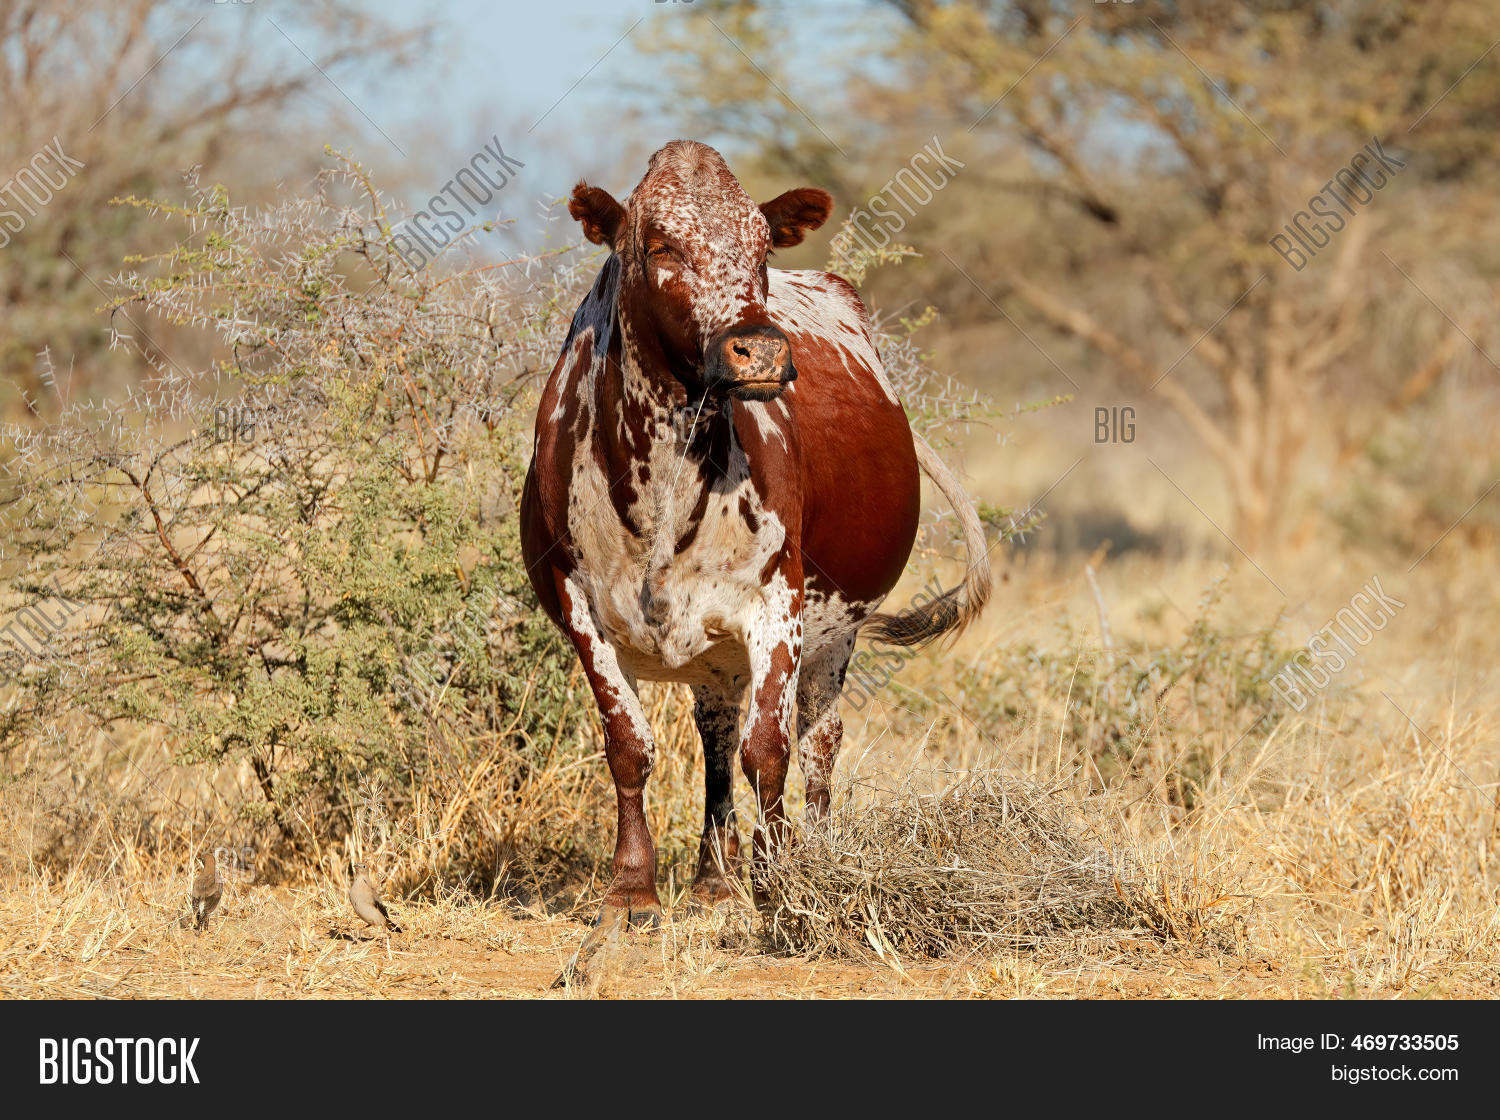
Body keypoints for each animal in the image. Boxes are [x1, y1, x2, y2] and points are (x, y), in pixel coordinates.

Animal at [520, 140, 990, 938]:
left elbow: (768, 750)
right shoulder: (579, 605)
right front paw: (632, 889)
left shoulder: (779, 601)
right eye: (659, 246)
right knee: (714, 735)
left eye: (763, 245)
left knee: (816, 741)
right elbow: (630, 747)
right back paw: (714, 878)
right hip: (717, 657)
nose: (760, 352)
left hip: (835, 631)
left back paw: (812, 851)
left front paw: (778, 882)